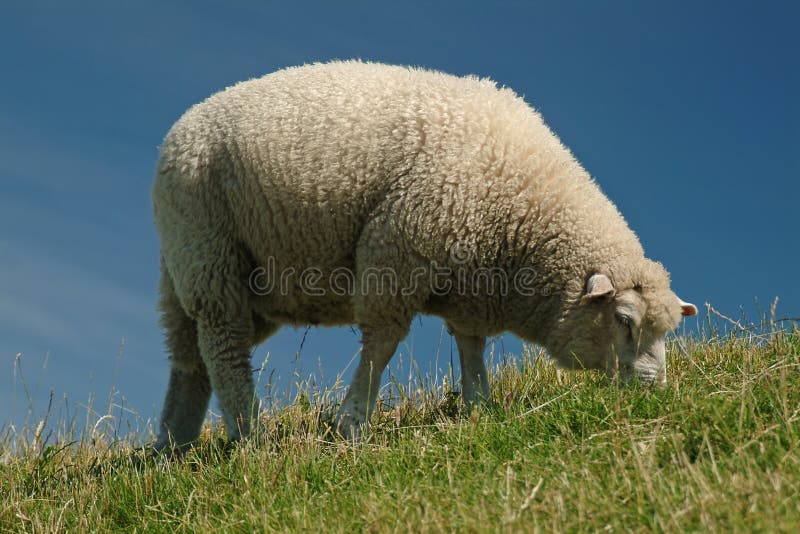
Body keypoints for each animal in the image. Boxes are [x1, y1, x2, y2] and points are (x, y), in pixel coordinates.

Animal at [151, 60, 697, 449]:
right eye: (624, 320)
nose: (654, 391)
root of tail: (180, 129)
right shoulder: (395, 255)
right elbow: (381, 347)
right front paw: (353, 424)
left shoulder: (473, 285)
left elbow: (472, 349)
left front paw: (480, 410)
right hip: (209, 255)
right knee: (224, 348)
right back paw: (247, 436)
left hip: (207, 275)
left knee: (189, 360)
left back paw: (173, 448)